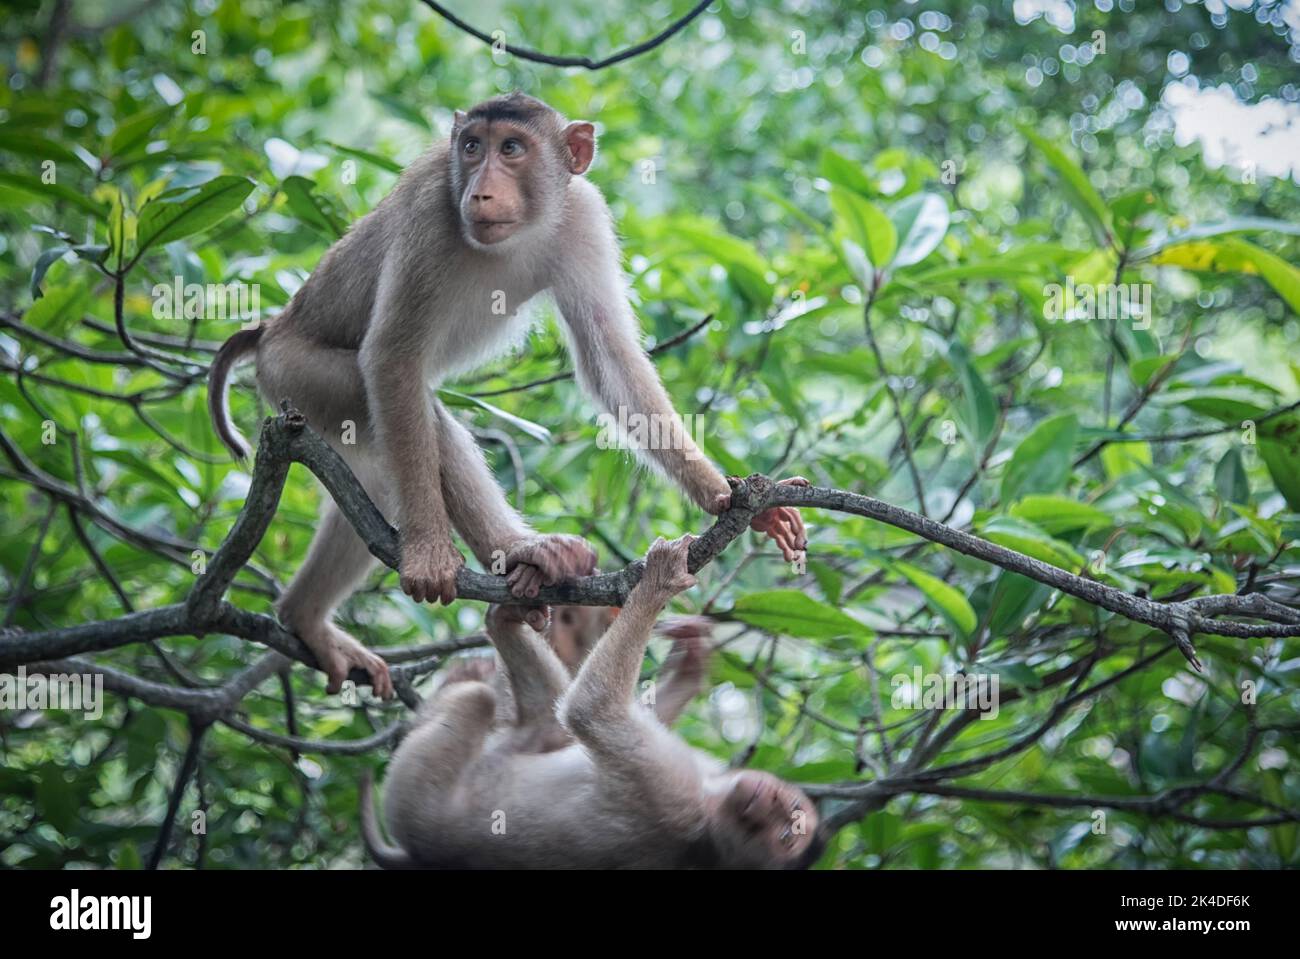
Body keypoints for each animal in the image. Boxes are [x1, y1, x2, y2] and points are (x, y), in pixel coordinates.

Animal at [207, 92, 808, 699]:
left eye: (512, 148)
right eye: (472, 147)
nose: (479, 190)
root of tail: (270, 329)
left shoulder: (584, 217)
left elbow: (609, 359)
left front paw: (726, 496)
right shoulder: (429, 212)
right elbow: (391, 358)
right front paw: (428, 553)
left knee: (374, 476)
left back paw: (308, 615)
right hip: (297, 372)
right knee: (403, 406)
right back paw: (522, 552)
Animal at [360, 535, 820, 869]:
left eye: (784, 834)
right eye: (792, 810)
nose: (769, 802)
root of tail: (415, 856)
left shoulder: (677, 795)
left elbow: (593, 710)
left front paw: (660, 582)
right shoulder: (706, 771)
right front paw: (691, 661)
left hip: (414, 794)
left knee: (484, 704)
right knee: (544, 724)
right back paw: (514, 609)